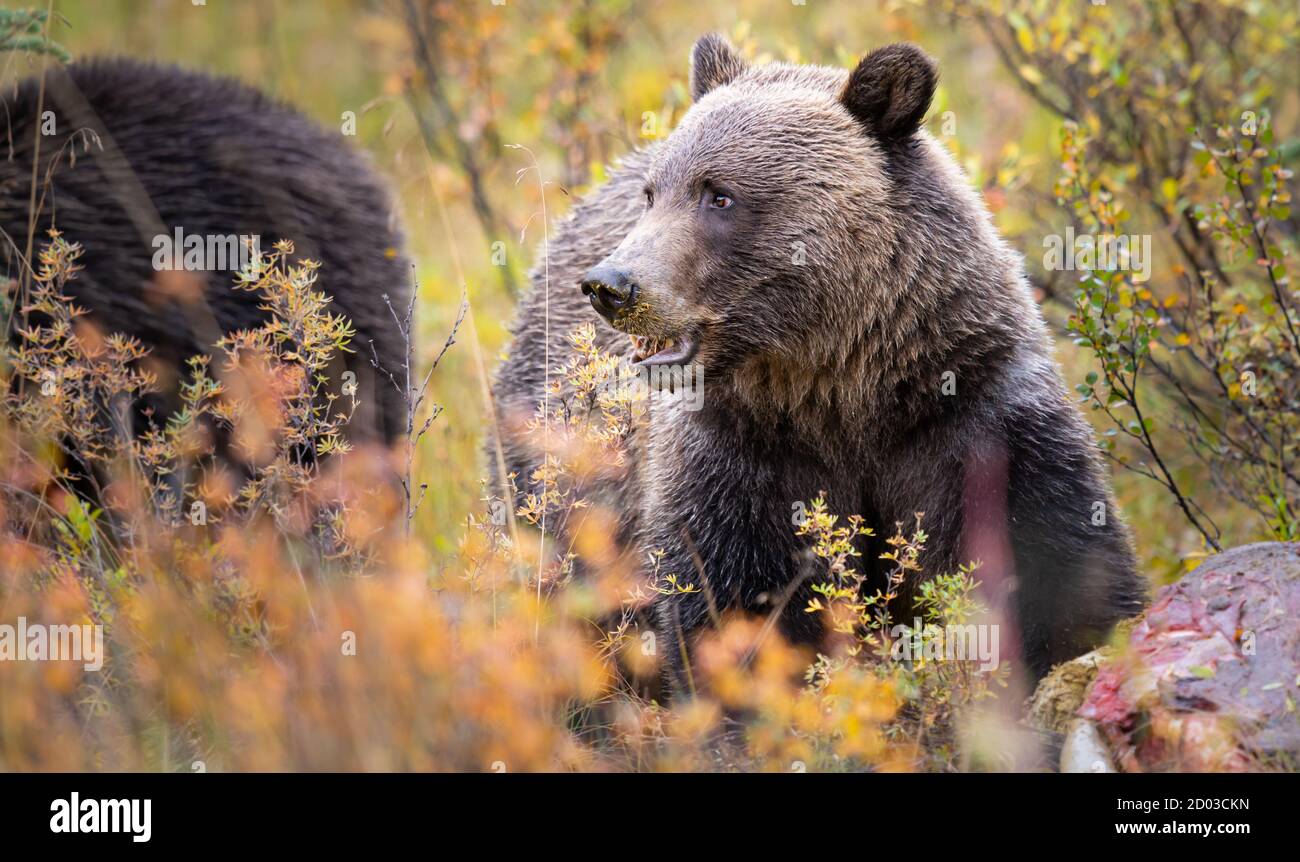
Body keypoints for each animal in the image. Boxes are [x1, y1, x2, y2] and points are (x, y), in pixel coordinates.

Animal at [490, 35, 1146, 690]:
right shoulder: (738, 459)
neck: (842, 388)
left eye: (719, 194)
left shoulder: (974, 418)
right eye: (654, 194)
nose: (612, 285)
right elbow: (734, 610)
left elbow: (1058, 570)